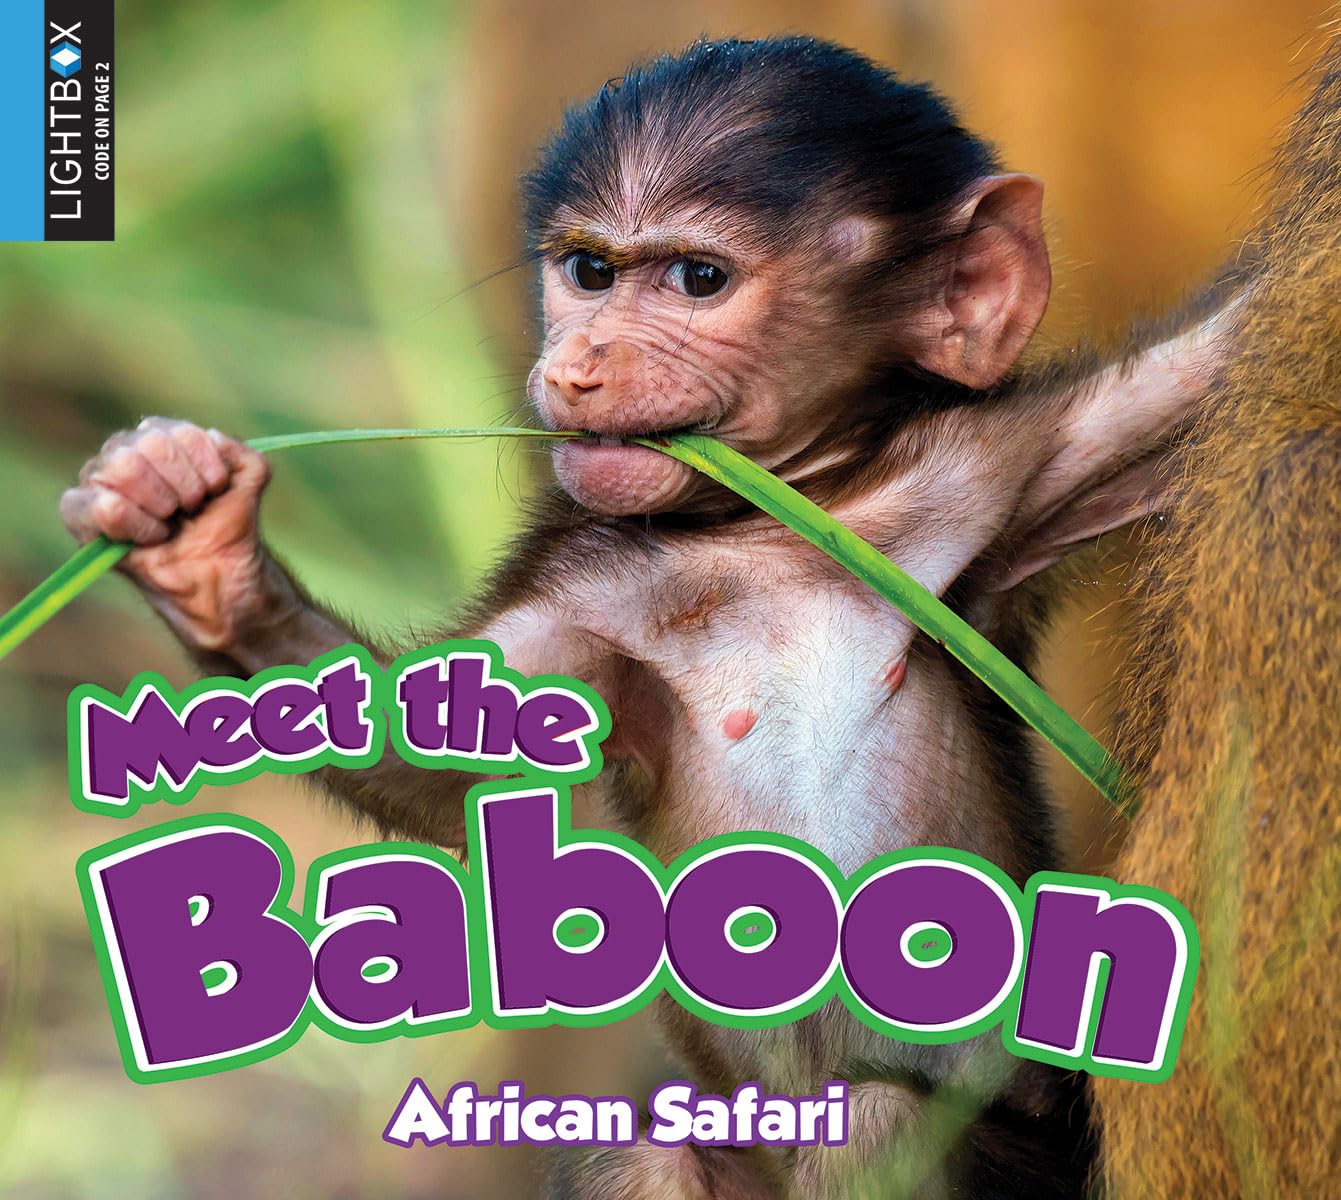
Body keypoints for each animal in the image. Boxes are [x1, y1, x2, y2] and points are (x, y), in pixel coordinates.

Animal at [59, 38, 1240, 1199]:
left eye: (696, 280)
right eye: (588, 273)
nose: (579, 365)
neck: (767, 526)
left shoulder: (1001, 467)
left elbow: (1188, 380)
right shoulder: (585, 583)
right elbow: (436, 754)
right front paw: (201, 550)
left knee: (876, 1120)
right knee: (652, 1153)